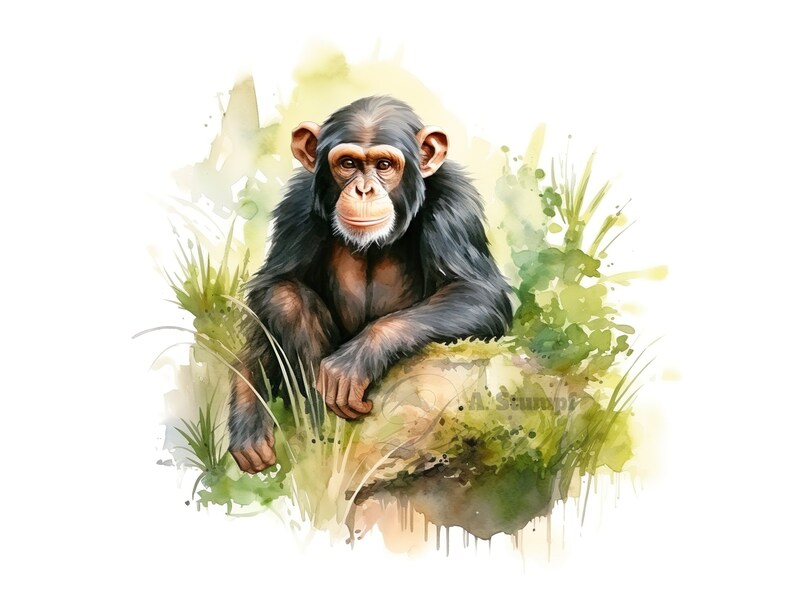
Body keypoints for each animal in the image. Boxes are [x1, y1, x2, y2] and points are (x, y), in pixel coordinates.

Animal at [228, 96, 513, 473]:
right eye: (348, 163)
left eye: (384, 165)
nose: (364, 189)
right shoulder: (296, 205)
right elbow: (274, 289)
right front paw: (261, 413)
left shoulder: (455, 203)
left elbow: (477, 291)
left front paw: (355, 360)